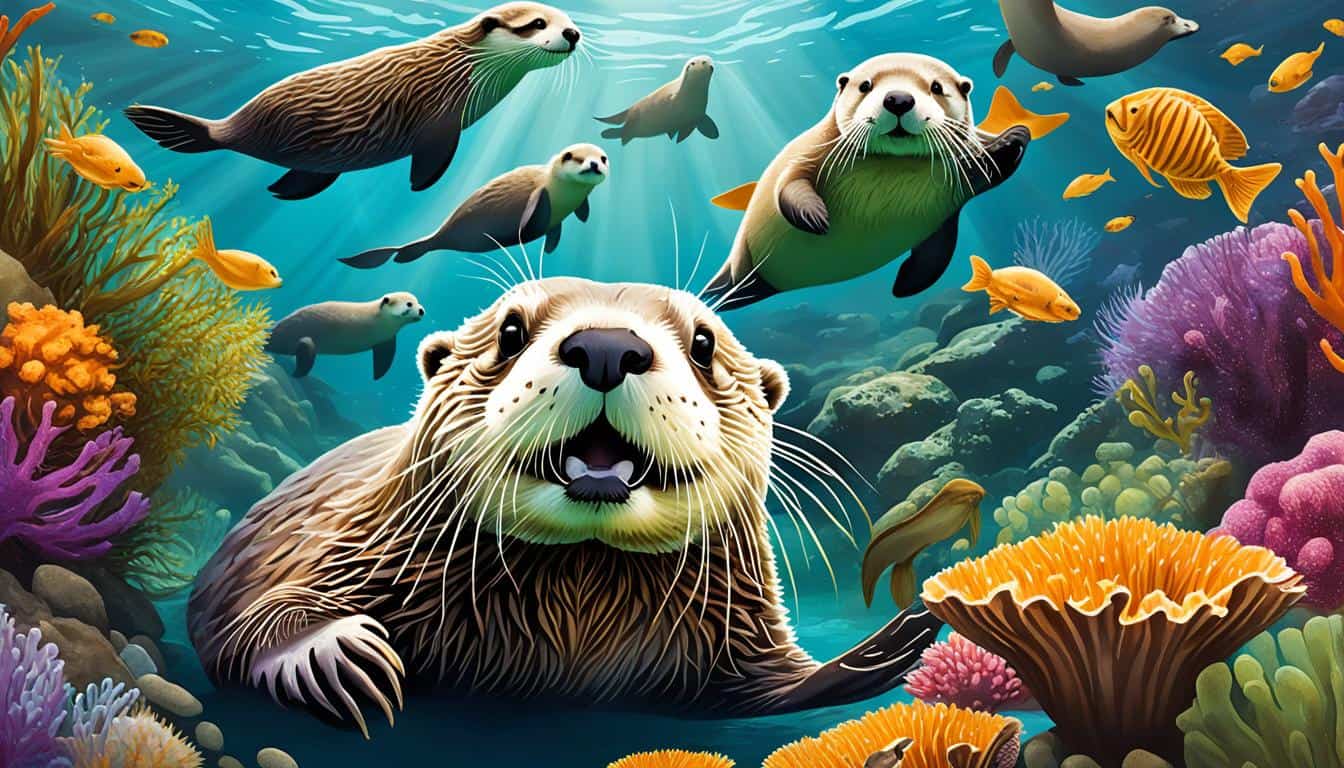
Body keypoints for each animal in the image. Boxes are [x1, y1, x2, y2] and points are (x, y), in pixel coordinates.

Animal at [124, 3, 581, 200]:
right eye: (538, 23)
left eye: (568, 20)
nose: (574, 33)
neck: (462, 62)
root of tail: (219, 127)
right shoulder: (440, 116)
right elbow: (432, 158)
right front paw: (419, 184)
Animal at [189, 278, 941, 735]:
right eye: (510, 331)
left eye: (703, 342)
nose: (607, 345)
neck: (571, 625)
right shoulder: (333, 548)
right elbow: (250, 622)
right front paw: (334, 651)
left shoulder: (732, 622)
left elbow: (765, 685)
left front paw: (888, 644)